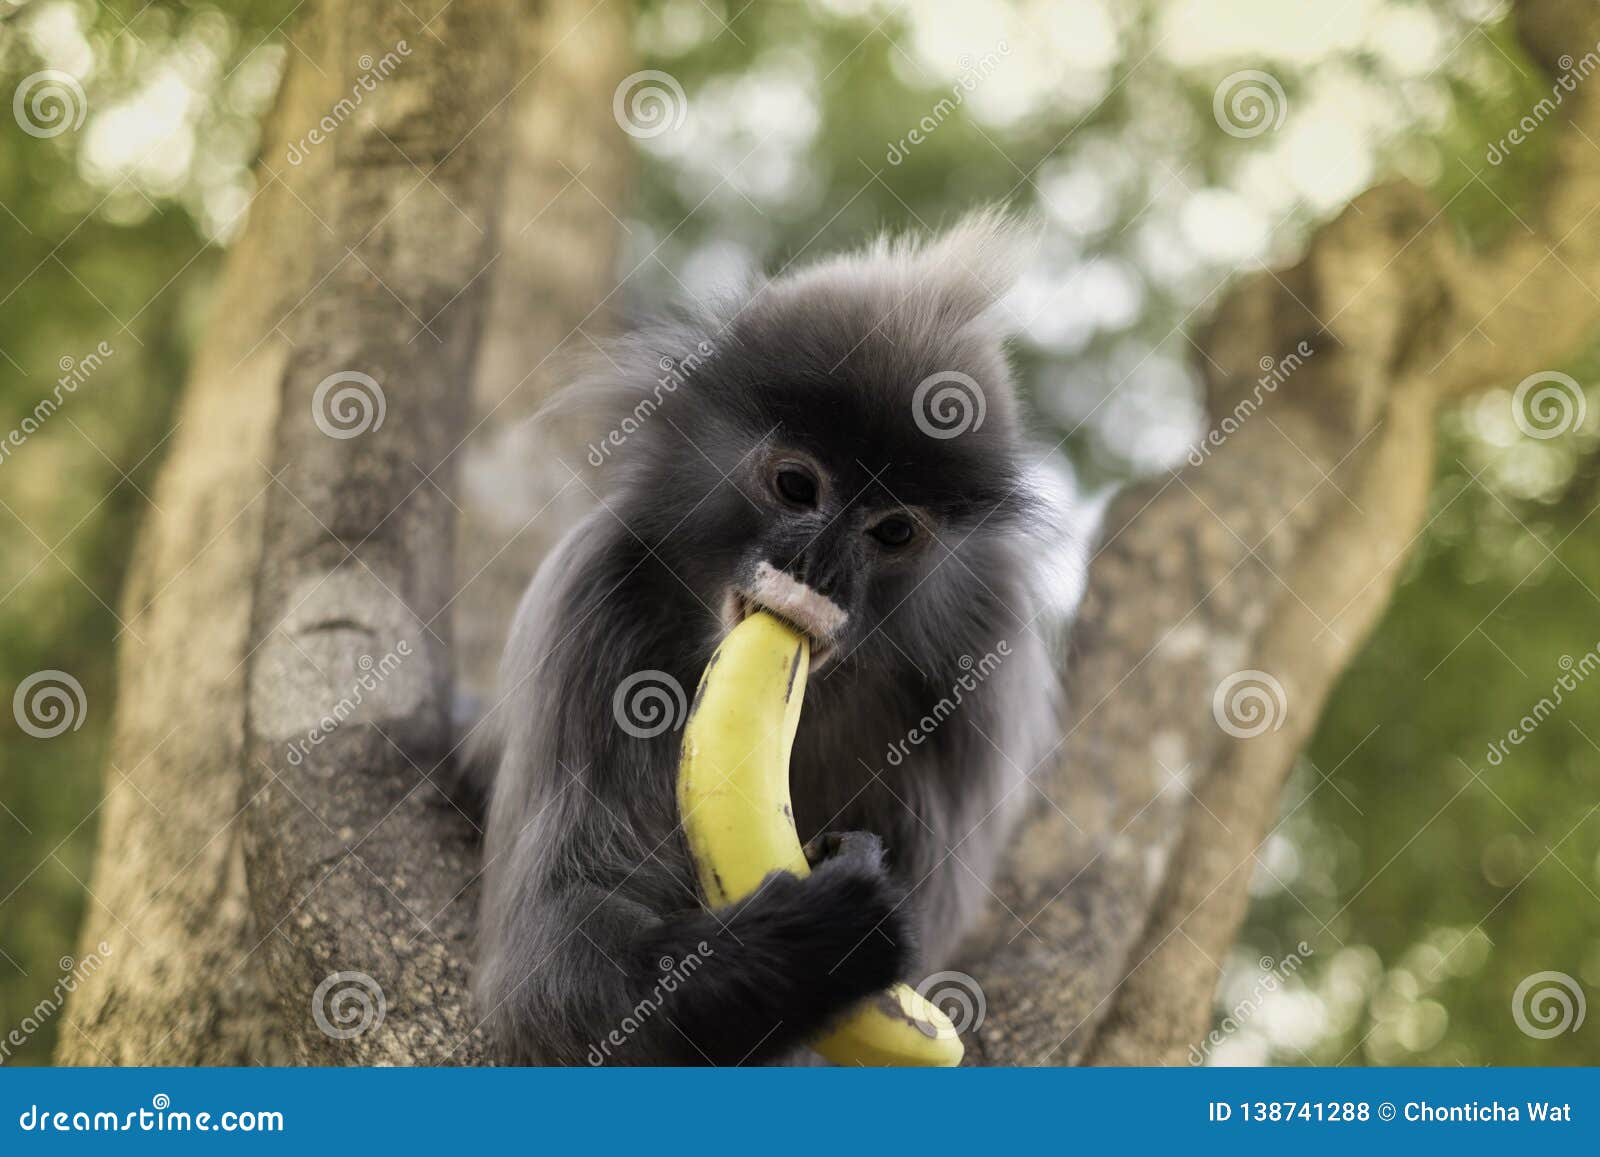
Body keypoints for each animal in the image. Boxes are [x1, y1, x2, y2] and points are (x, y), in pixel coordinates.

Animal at [470, 211, 1064, 1065]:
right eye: (795, 486)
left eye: (893, 531)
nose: (816, 570)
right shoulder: (590, 605)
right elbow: (539, 972)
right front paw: (821, 935)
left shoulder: (978, 696)